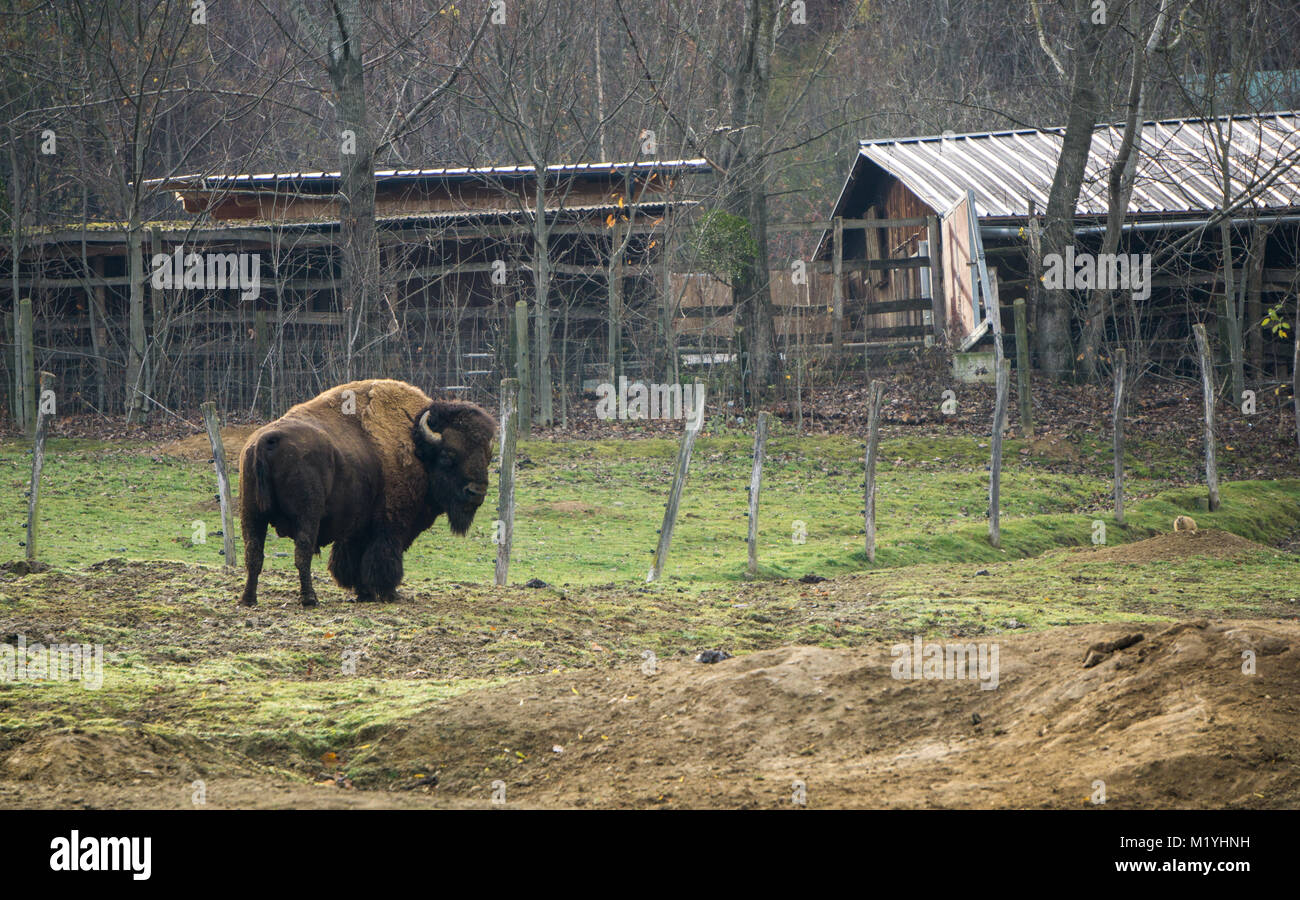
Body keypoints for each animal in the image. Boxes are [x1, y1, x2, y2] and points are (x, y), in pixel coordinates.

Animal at [237, 379, 496, 607]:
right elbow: (383, 558)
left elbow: (355, 560)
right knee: (302, 553)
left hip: (251, 514)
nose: (476, 492)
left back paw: (249, 599)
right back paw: (310, 599)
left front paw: (365, 594)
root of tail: (266, 441)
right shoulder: (390, 526)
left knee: (254, 554)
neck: (416, 445)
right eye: (448, 456)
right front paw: (389, 594)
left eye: (486, 455)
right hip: (306, 516)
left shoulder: (357, 528)